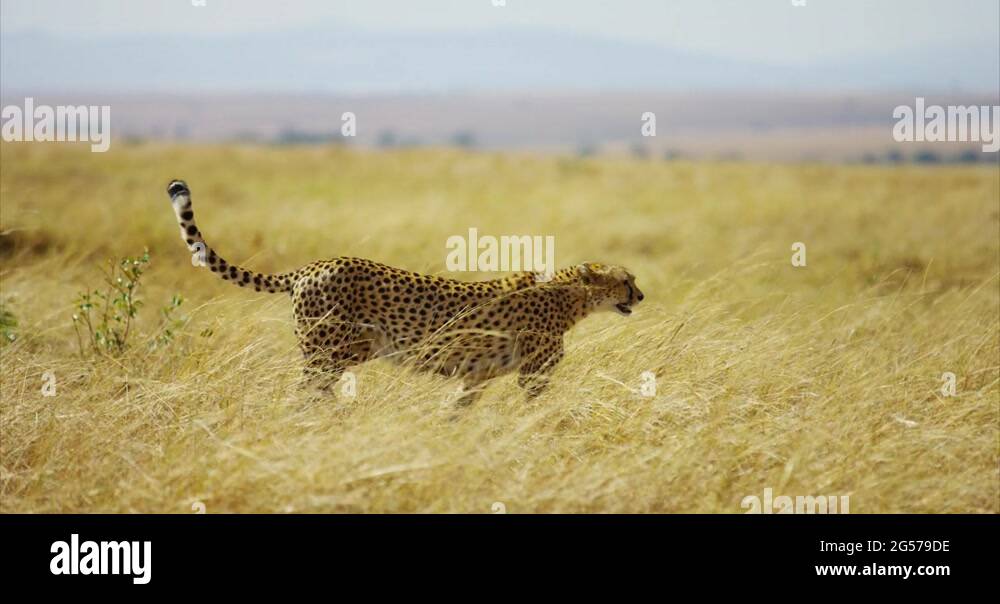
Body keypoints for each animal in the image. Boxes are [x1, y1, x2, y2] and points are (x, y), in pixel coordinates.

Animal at [166, 179, 643, 405]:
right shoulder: (532, 375)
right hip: (330, 351)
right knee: (307, 393)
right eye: (627, 280)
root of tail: (309, 267)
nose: (641, 296)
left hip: (344, 350)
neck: (571, 296)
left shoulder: (476, 375)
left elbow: (459, 410)